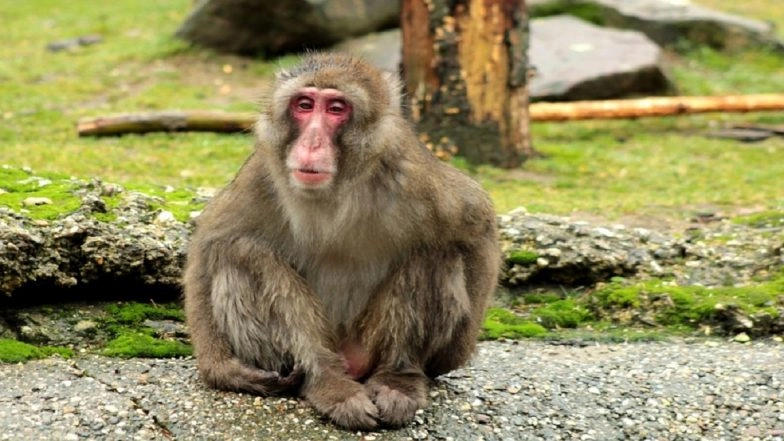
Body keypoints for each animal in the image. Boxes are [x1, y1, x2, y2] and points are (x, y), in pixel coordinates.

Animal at [182, 52, 501, 430]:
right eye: (305, 105)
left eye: (336, 109)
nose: (311, 143)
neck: (338, 190)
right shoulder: (261, 175)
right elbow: (213, 240)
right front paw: (223, 369)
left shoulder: (414, 175)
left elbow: (476, 224)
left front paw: (448, 358)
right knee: (241, 253)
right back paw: (327, 379)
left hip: (369, 342)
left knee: (436, 254)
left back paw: (398, 376)